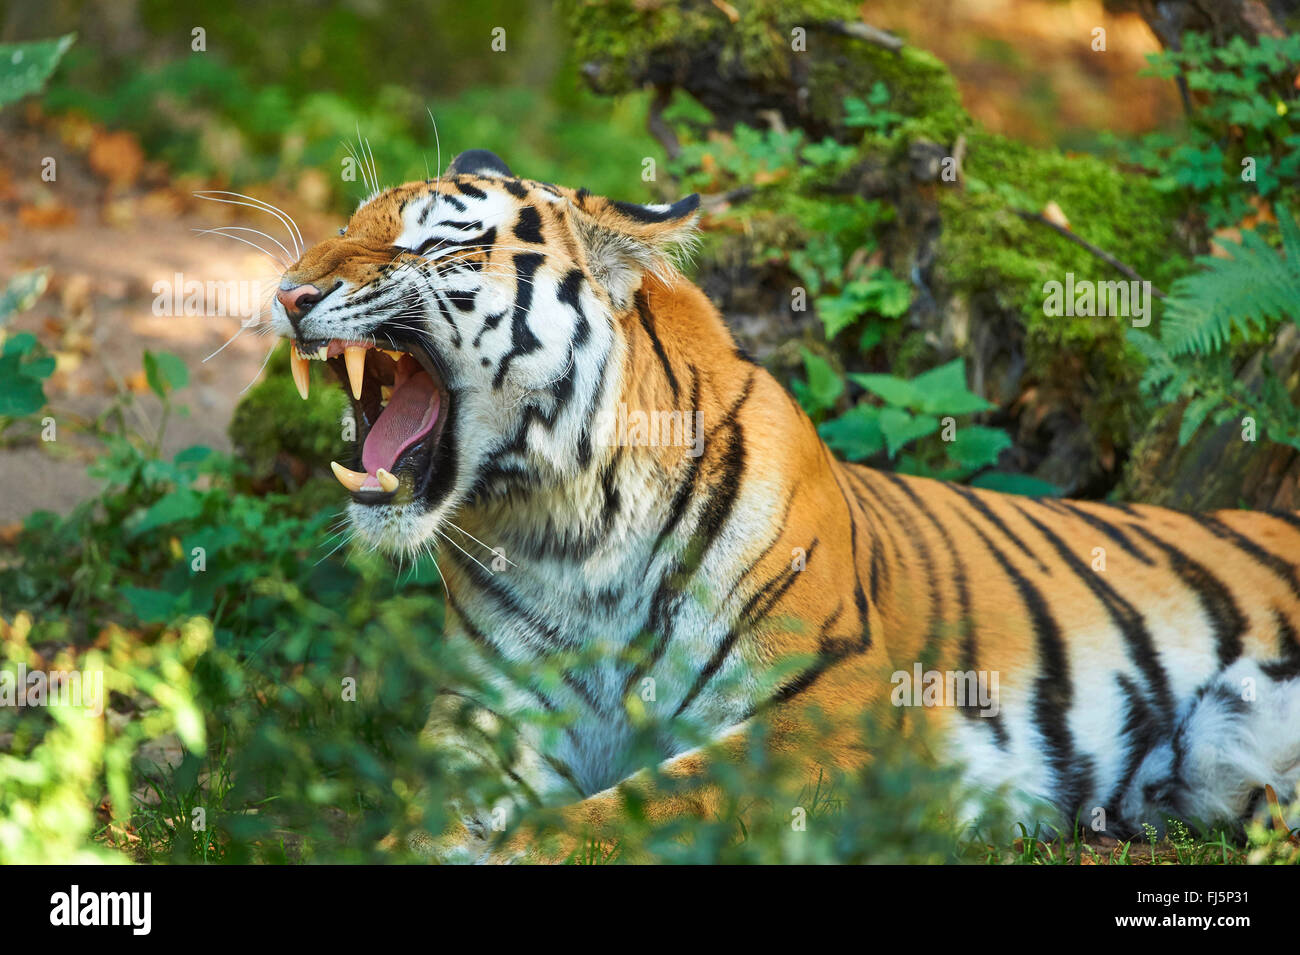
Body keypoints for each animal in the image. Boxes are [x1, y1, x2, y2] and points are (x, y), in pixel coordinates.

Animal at [268, 148, 1300, 861]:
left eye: (438, 240)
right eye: (348, 220)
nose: (286, 293)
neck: (565, 532)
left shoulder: (834, 713)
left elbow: (633, 815)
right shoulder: (492, 717)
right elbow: (419, 820)